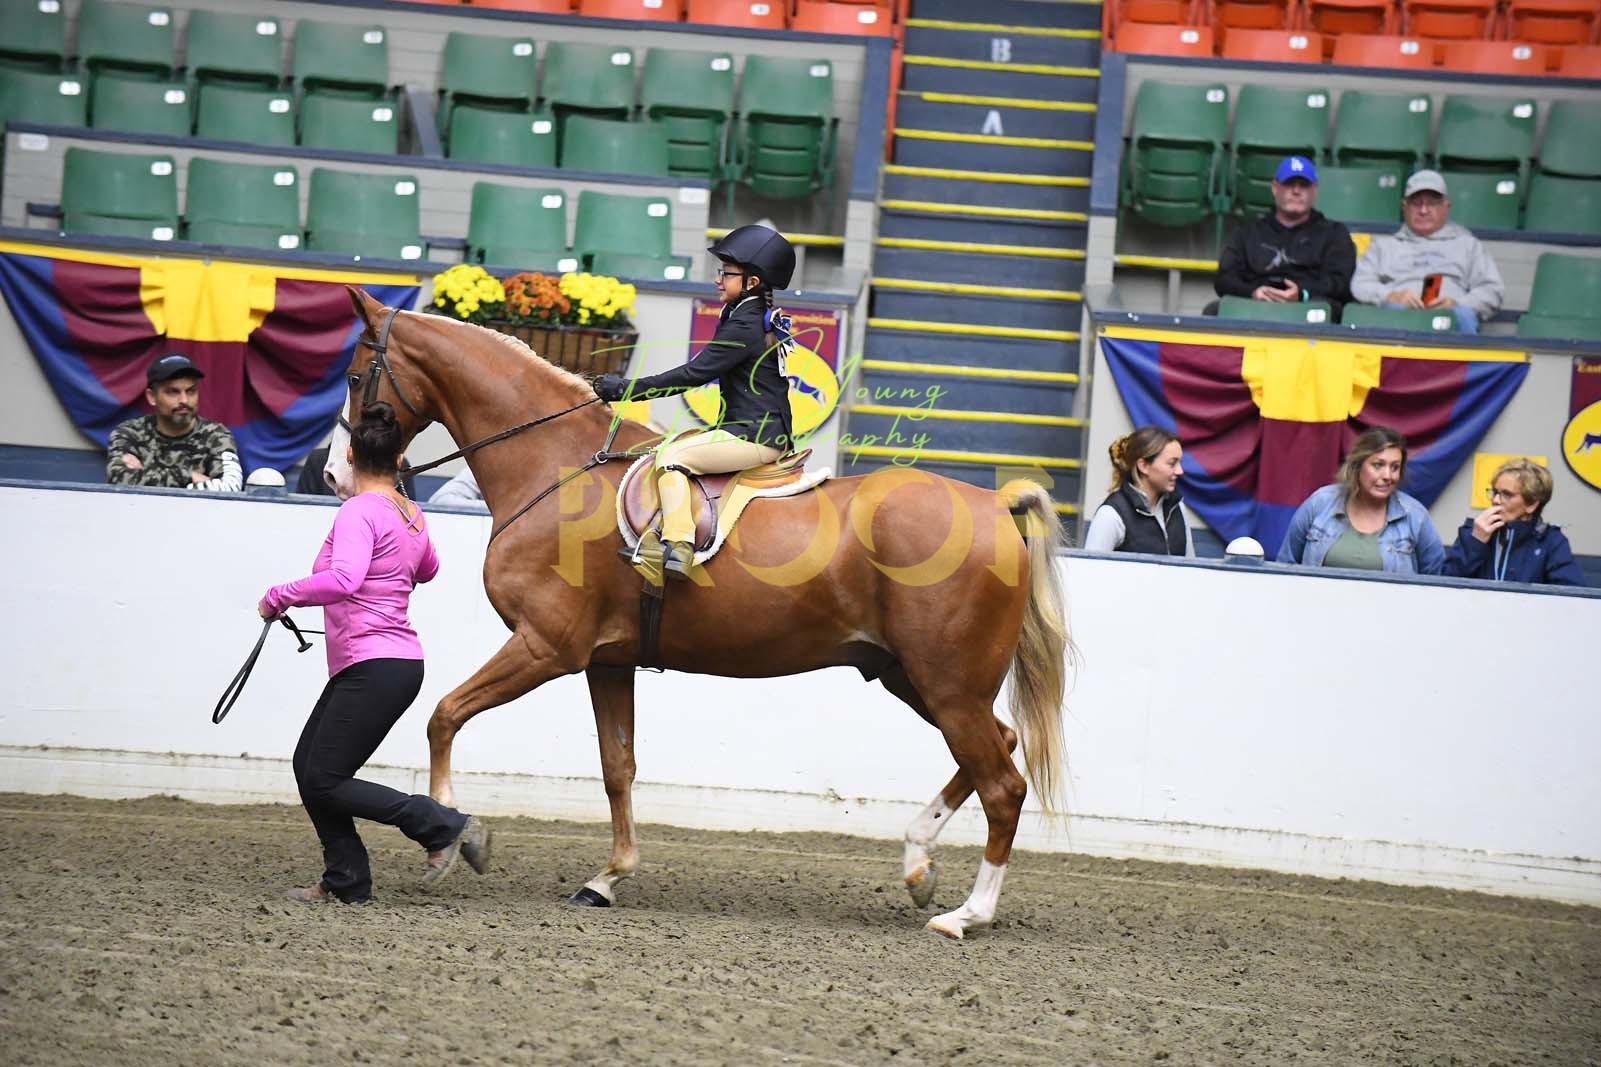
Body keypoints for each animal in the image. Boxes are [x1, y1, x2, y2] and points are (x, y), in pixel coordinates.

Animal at [324, 288, 1073, 939]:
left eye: (358, 375)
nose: (337, 476)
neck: (555, 467)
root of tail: (992, 503)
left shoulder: (546, 646)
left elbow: (445, 713)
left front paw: (449, 839)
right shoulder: (606, 661)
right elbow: (616, 765)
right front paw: (607, 878)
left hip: (946, 684)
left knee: (1003, 783)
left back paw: (966, 915)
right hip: (913, 677)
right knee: (1000, 749)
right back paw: (918, 863)